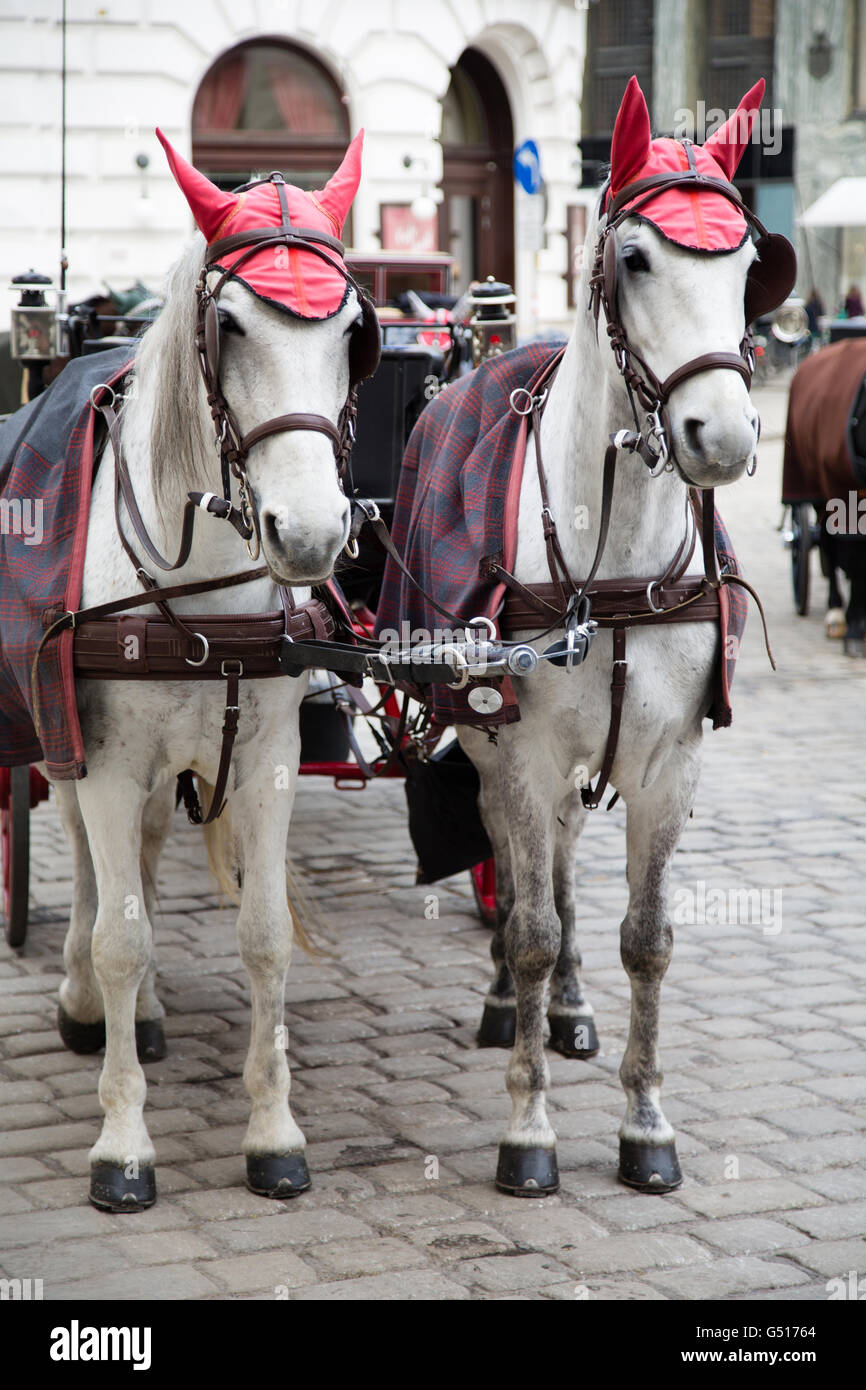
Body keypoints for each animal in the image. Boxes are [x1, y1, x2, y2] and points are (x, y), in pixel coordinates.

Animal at [35, 131, 379, 1210]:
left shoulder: (268, 760)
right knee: (92, 867)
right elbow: (121, 935)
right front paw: (123, 1144)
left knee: (141, 856)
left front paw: (273, 1133)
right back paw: (84, 996)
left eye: (352, 329)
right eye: (228, 326)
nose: (310, 533)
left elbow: (264, 935)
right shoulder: (100, 758)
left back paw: (140, 1014)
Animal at [447, 76, 796, 1195]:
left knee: (555, 852)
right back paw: (515, 1003)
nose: (722, 438)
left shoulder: (669, 761)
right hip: (488, 743)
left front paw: (645, 1121)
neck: (614, 565)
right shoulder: (515, 746)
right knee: (516, 863)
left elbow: (645, 938)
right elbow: (526, 926)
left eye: (745, 265)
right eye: (636, 258)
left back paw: (568, 1007)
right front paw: (528, 1128)